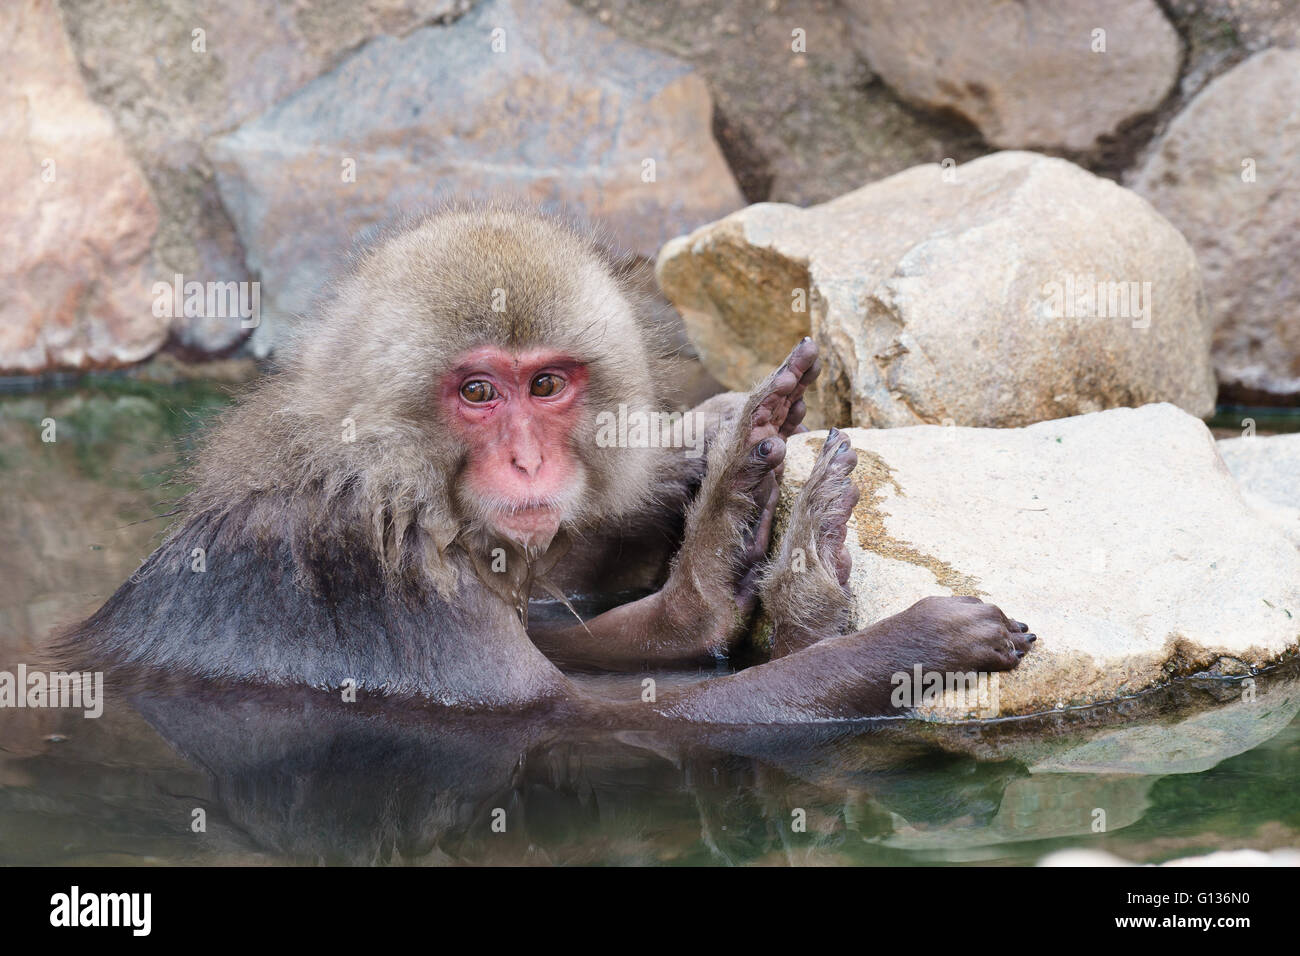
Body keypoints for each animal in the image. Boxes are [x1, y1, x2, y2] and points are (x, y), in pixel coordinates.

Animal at [57, 205, 1034, 723]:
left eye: (549, 384)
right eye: (478, 391)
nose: (528, 461)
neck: (398, 488)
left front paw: (714, 541)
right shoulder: (376, 585)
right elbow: (583, 724)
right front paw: (903, 647)